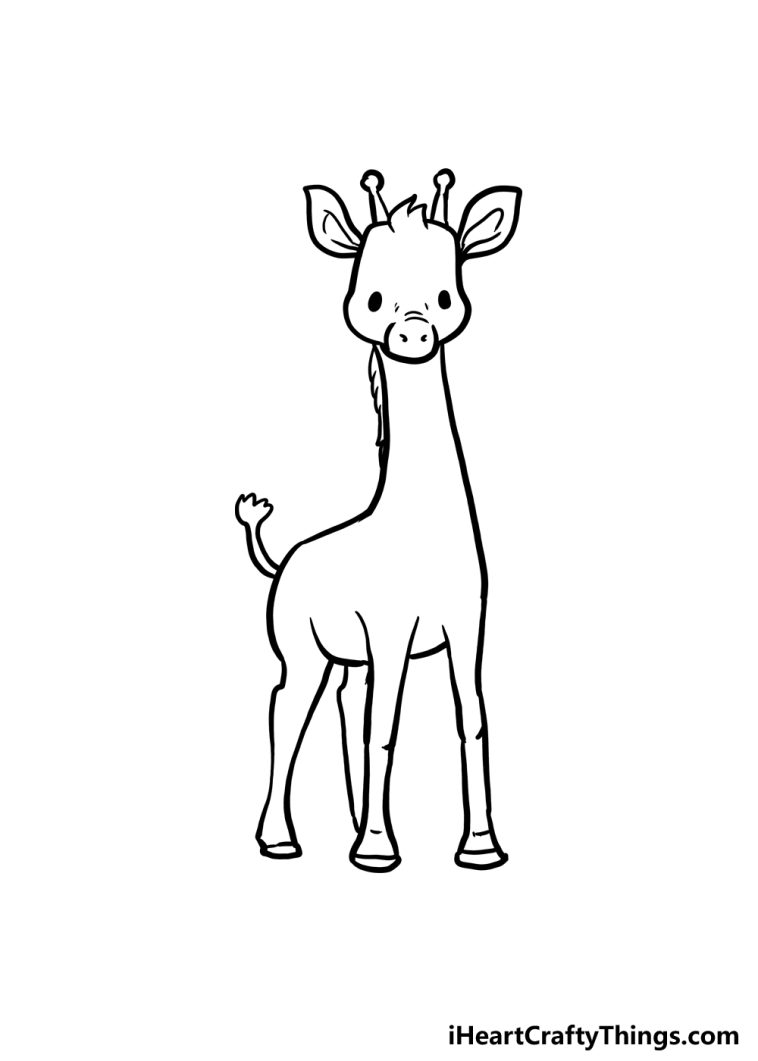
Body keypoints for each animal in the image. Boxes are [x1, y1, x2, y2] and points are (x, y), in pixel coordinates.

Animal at [236, 169, 522, 872]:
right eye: (370, 298)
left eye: (446, 295)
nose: (413, 331)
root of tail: (281, 558)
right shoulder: (392, 633)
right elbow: (385, 732)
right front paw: (376, 851)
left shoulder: (466, 629)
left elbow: (470, 720)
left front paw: (479, 847)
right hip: (301, 649)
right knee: (287, 713)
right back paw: (282, 839)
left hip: (347, 657)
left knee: (341, 708)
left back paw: (346, 825)